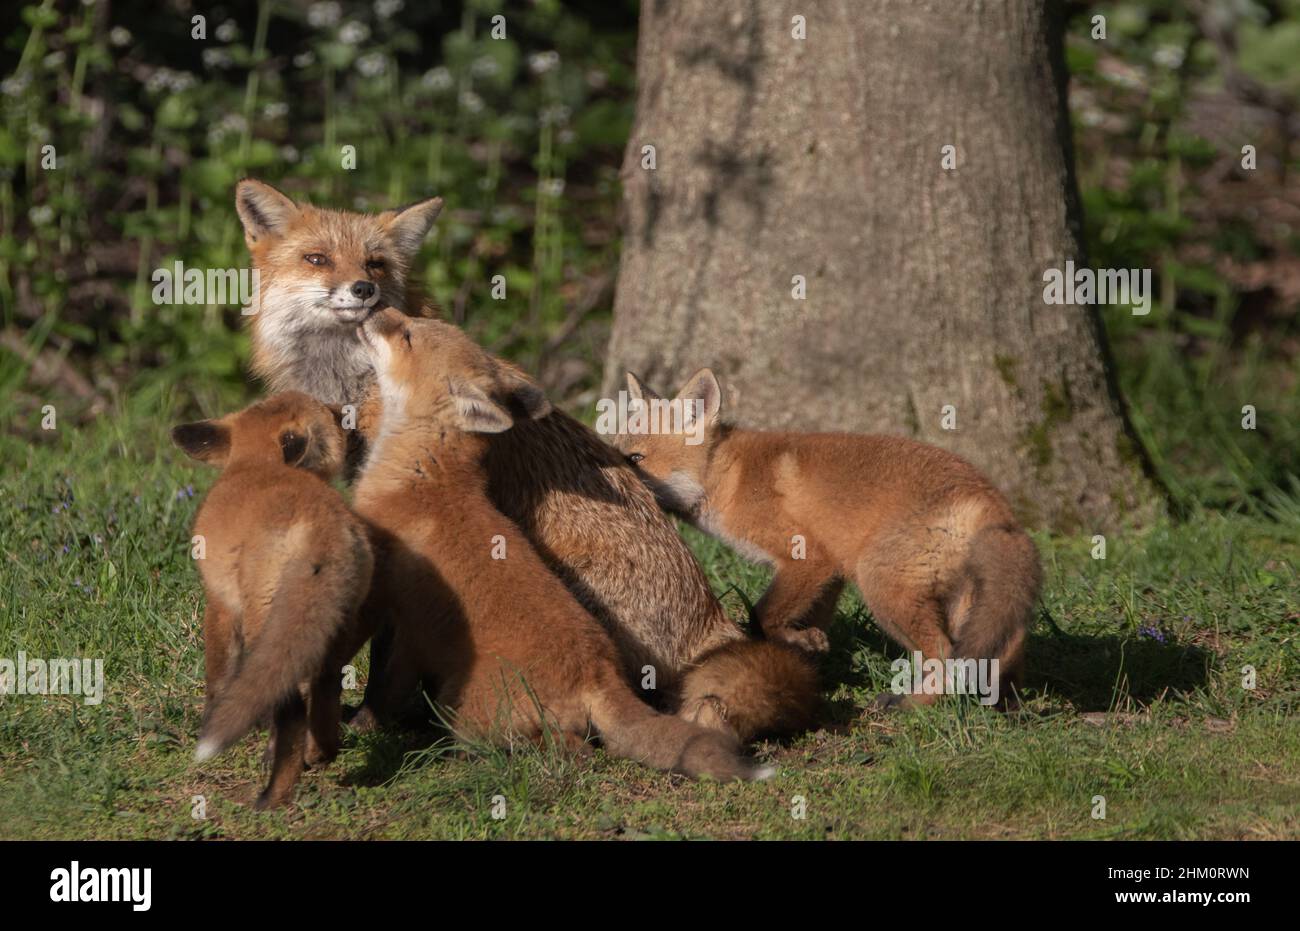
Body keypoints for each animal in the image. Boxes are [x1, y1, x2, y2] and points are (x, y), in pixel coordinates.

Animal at [172, 392, 375, 808]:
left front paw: (211, 721)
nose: (349, 412)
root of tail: (321, 529)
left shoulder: (219, 603)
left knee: (290, 704)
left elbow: (218, 677)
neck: (254, 463)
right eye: (331, 414)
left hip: (264, 620)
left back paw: (274, 791)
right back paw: (319, 753)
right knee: (323, 688)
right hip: (334, 627)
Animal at [613, 368, 1043, 709]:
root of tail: (990, 499)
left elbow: (762, 614)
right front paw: (807, 653)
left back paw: (912, 706)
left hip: (881, 584)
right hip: (959, 599)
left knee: (943, 653)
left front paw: (797, 643)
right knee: (999, 648)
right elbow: (803, 620)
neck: (728, 478)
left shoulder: (806, 557)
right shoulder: (830, 571)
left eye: (635, 459)